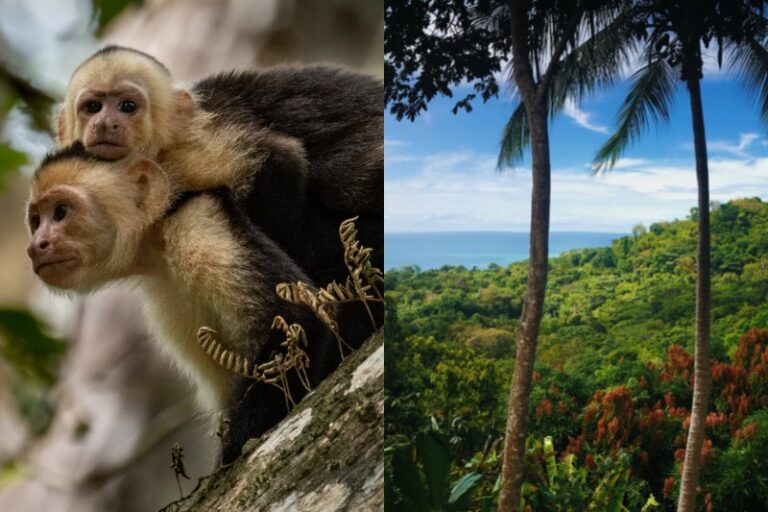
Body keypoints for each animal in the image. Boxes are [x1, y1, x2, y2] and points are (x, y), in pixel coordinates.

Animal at [26, 142, 340, 464]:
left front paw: (231, 454)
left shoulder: (196, 222)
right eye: (36, 222)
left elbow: (297, 318)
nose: (35, 247)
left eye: (61, 212)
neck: (156, 240)